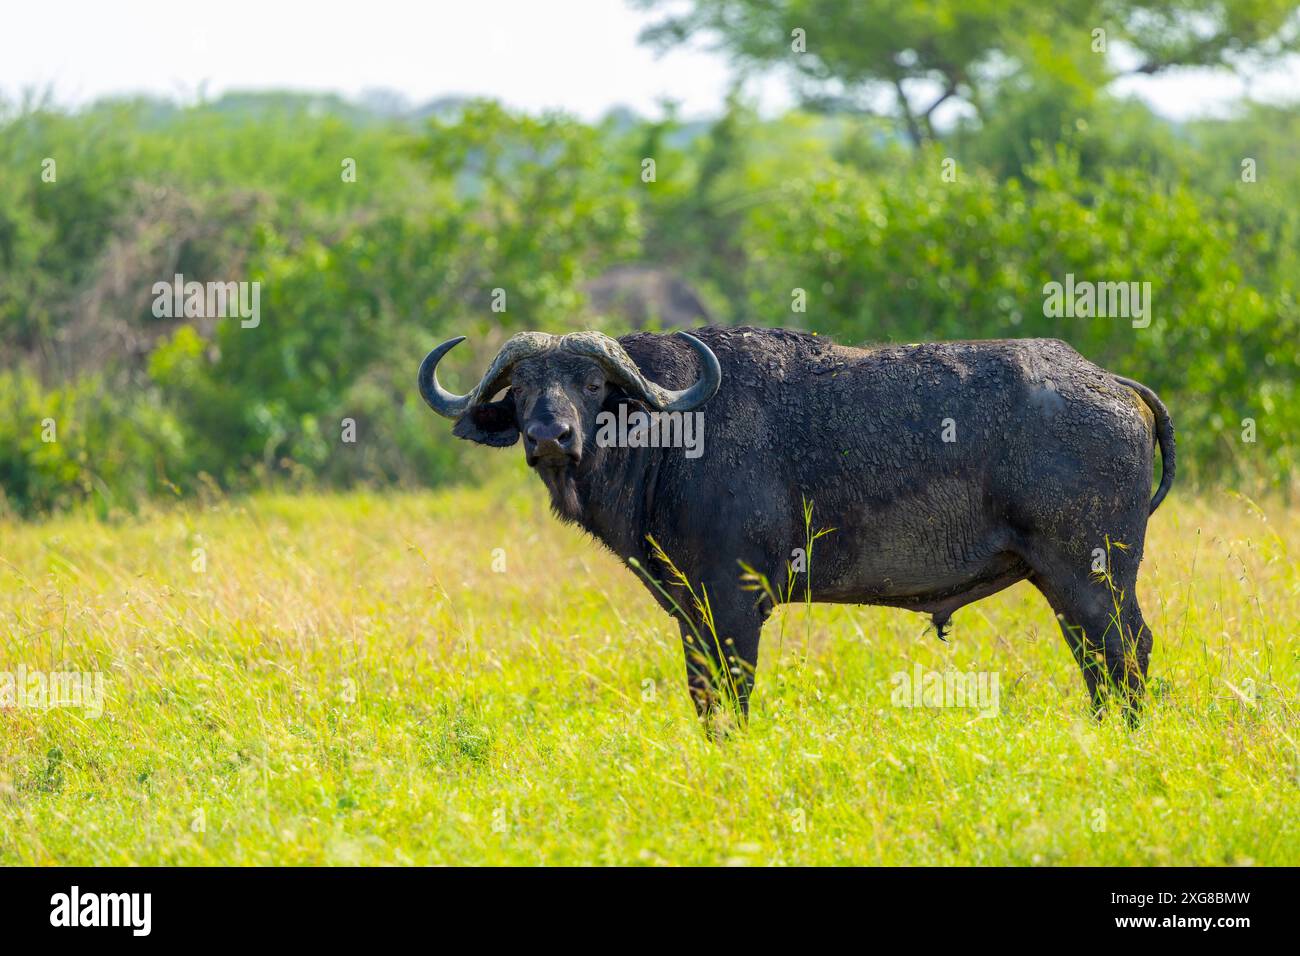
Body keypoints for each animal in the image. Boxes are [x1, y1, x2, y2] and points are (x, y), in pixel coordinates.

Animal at [418, 326, 1175, 730]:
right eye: (521, 387)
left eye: (593, 384)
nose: (550, 435)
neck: (672, 438)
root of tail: (1108, 381)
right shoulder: (691, 612)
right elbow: (702, 694)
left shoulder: (734, 602)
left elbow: (731, 691)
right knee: (1102, 662)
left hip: (1092, 577)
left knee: (1125, 655)